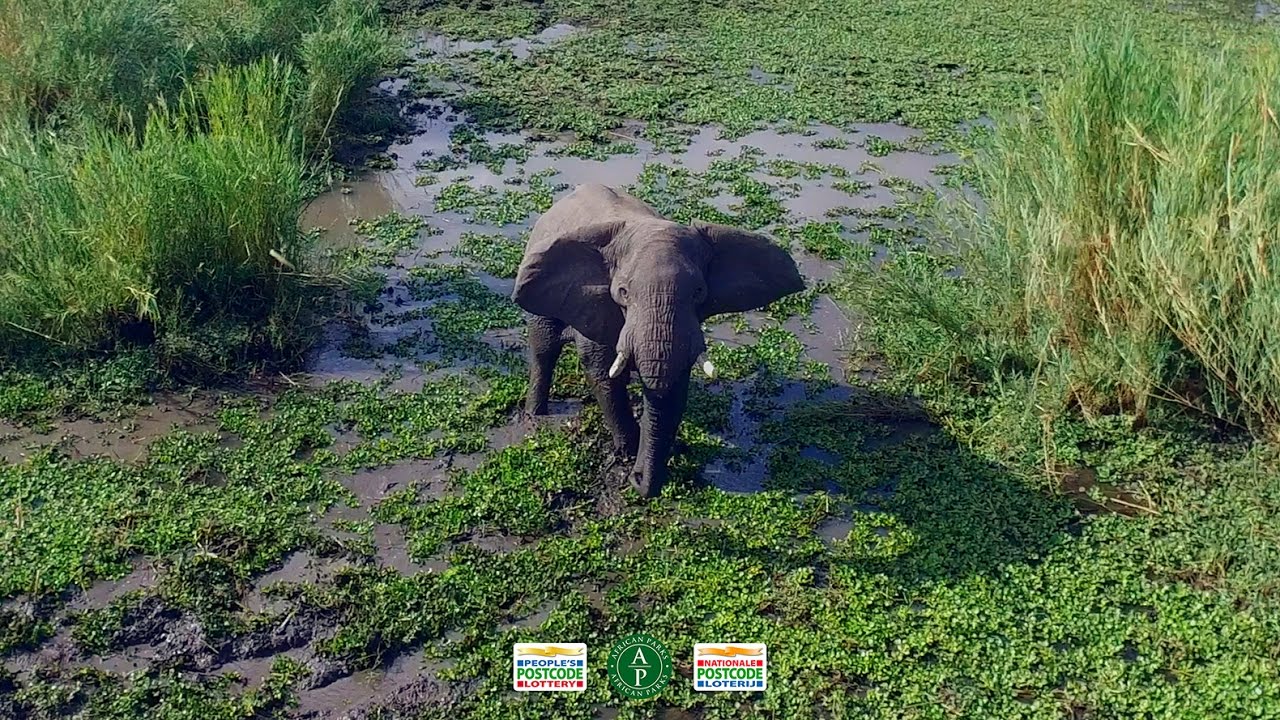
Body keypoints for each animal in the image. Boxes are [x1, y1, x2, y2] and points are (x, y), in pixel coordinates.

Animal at [511, 183, 805, 498]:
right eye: (623, 292)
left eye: (699, 292)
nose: (638, 481)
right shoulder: (597, 304)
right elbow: (603, 374)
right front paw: (629, 452)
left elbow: (674, 385)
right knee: (544, 348)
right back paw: (536, 415)